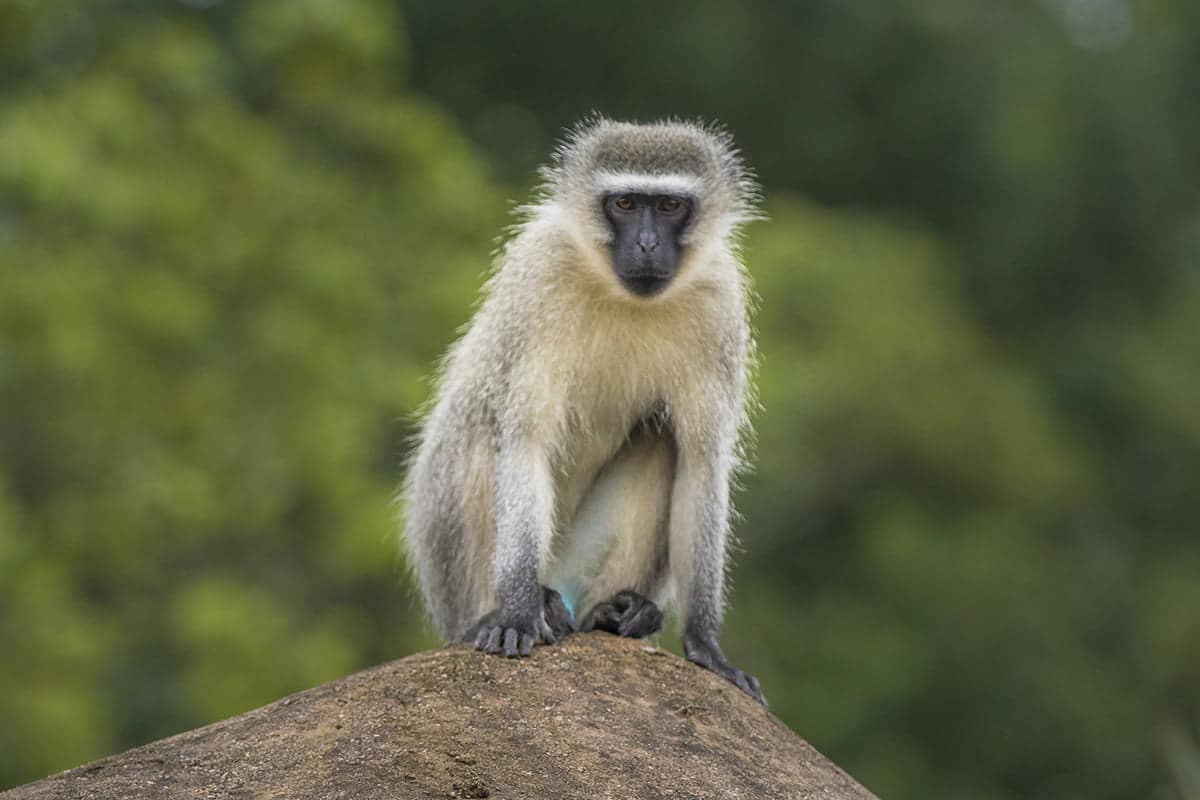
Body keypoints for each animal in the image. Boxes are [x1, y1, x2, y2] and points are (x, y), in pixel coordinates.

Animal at [401, 116, 765, 704]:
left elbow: (701, 462)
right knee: (483, 430)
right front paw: (518, 611)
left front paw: (706, 643)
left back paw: (614, 614)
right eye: (624, 203)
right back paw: (513, 610)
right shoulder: (540, 278)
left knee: (662, 438)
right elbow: (524, 439)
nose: (646, 243)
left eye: (669, 207)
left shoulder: (719, 303)